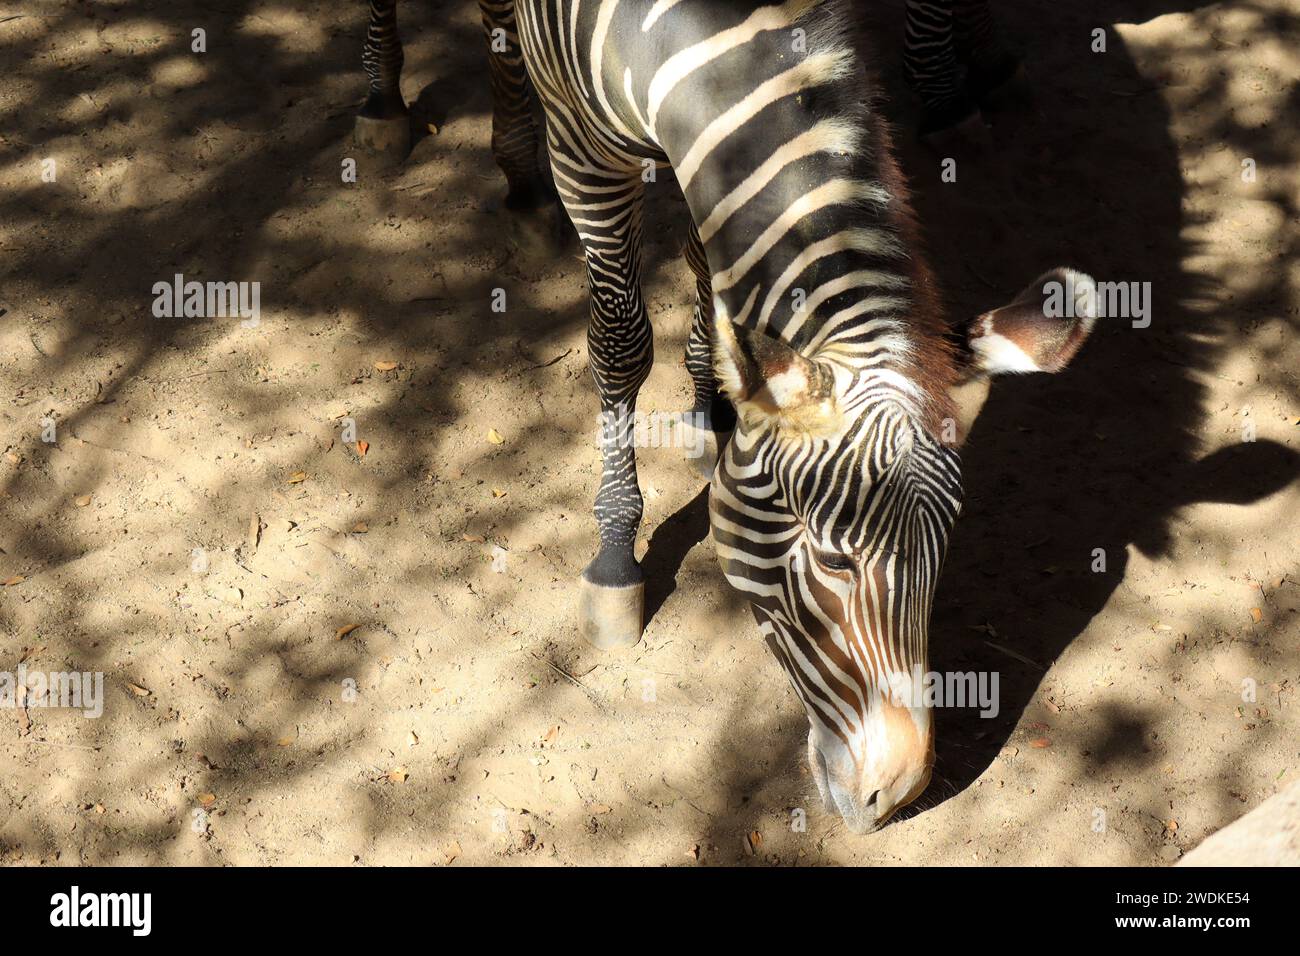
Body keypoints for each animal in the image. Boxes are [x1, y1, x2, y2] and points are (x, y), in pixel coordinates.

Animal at [358, 0, 1095, 833]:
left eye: (945, 550)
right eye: (834, 563)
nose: (899, 796)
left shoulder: (701, 149)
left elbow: (707, 261)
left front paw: (712, 404)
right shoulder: (585, 151)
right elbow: (621, 342)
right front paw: (616, 551)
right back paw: (409, 116)